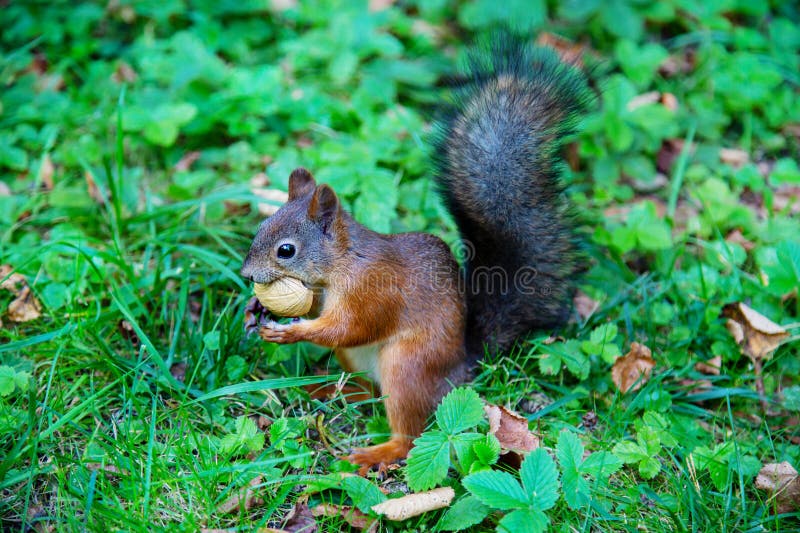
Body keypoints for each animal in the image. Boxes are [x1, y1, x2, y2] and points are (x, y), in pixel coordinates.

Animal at [240, 37, 590, 475]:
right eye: (261, 227)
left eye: (286, 250)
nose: (247, 274)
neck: (343, 263)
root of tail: (460, 369)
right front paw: (256, 308)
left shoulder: (375, 291)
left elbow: (350, 326)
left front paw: (291, 331)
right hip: (359, 362)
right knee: (364, 391)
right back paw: (329, 390)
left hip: (407, 367)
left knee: (408, 435)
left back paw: (376, 452)